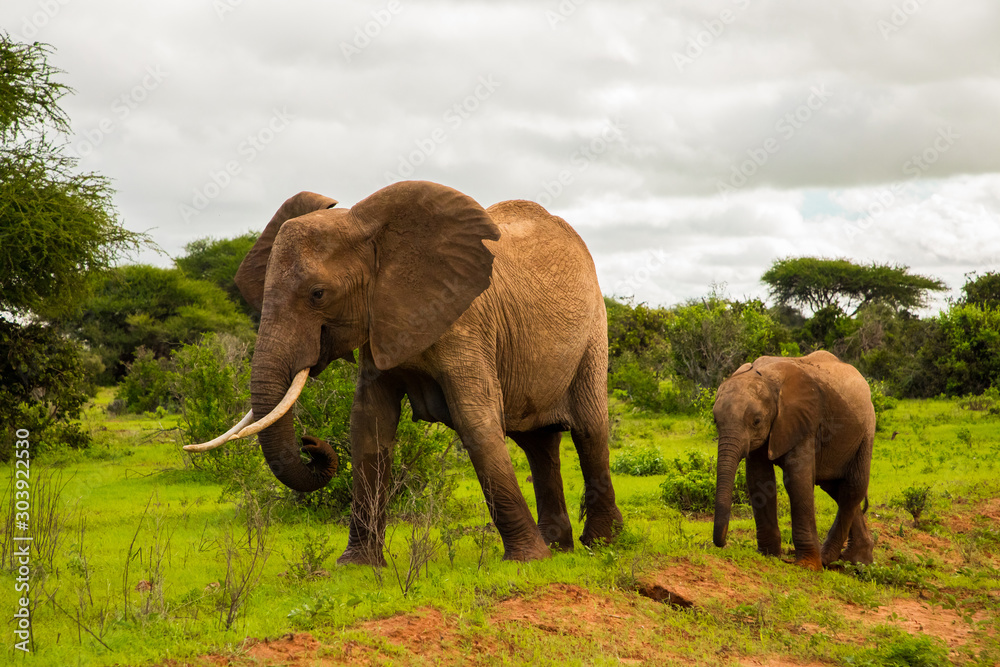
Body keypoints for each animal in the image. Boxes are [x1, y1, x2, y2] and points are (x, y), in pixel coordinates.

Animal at [189, 180, 623, 564]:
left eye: (318, 294)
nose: (311, 443)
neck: (377, 238)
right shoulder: (379, 323)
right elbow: (369, 424)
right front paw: (357, 565)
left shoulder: (466, 324)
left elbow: (476, 421)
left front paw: (527, 561)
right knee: (538, 443)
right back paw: (559, 547)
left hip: (593, 333)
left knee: (588, 430)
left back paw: (600, 545)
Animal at [712, 350, 875, 571]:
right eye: (715, 421)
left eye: (756, 421)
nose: (722, 543)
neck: (767, 378)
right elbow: (758, 478)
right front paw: (768, 555)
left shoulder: (804, 420)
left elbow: (797, 480)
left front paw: (807, 566)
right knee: (834, 488)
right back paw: (858, 560)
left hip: (866, 431)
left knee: (852, 489)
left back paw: (829, 559)